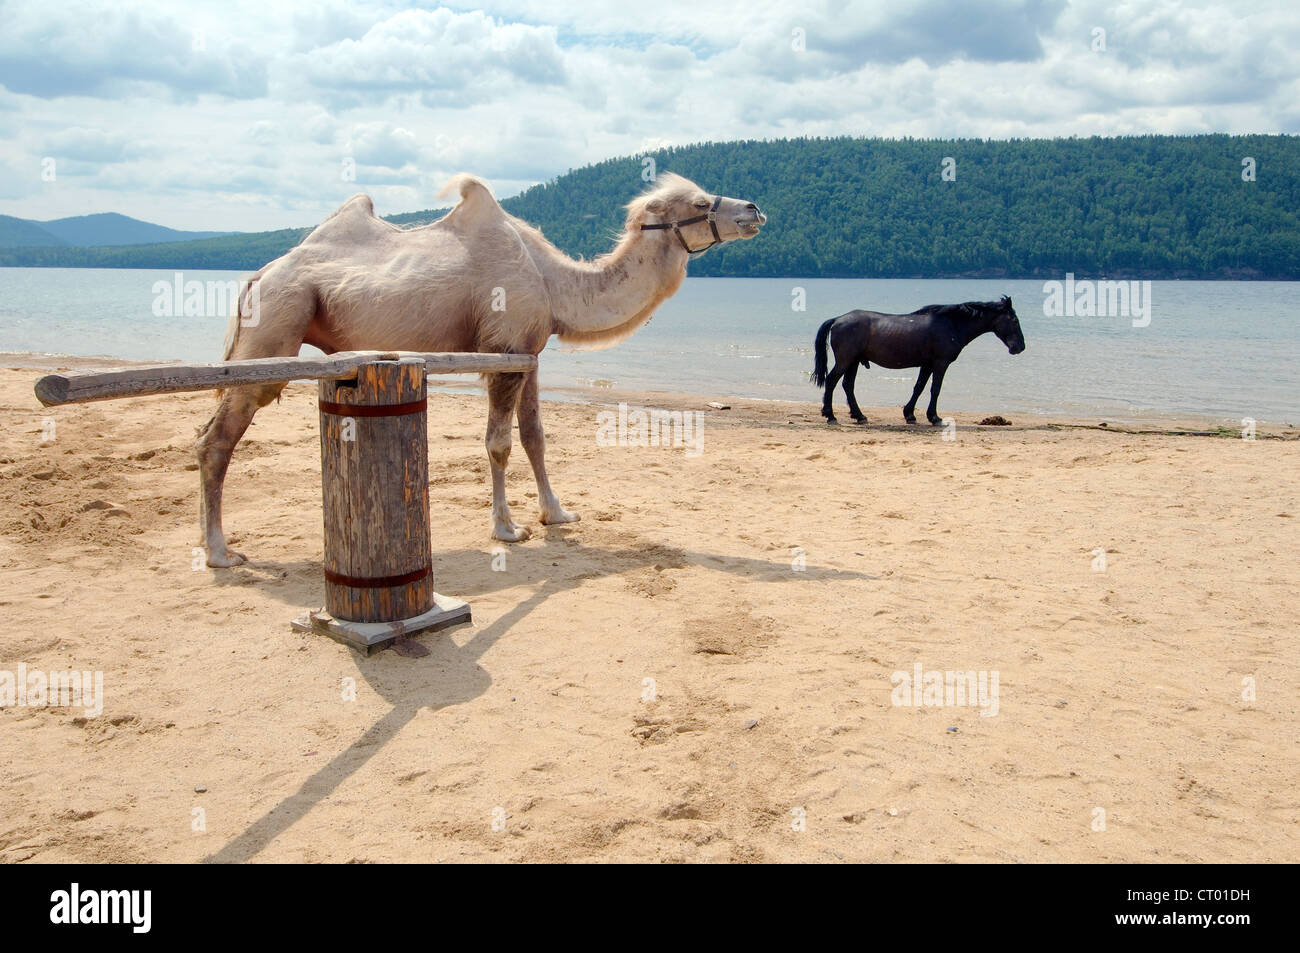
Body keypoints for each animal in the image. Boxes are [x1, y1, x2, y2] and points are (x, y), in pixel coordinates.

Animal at [197, 172, 766, 566]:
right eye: (700, 202)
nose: (754, 208)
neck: (554, 283)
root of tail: (255, 277)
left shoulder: (529, 352)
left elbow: (535, 436)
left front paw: (557, 512)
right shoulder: (503, 350)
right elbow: (499, 443)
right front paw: (507, 528)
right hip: (278, 320)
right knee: (216, 439)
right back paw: (221, 552)